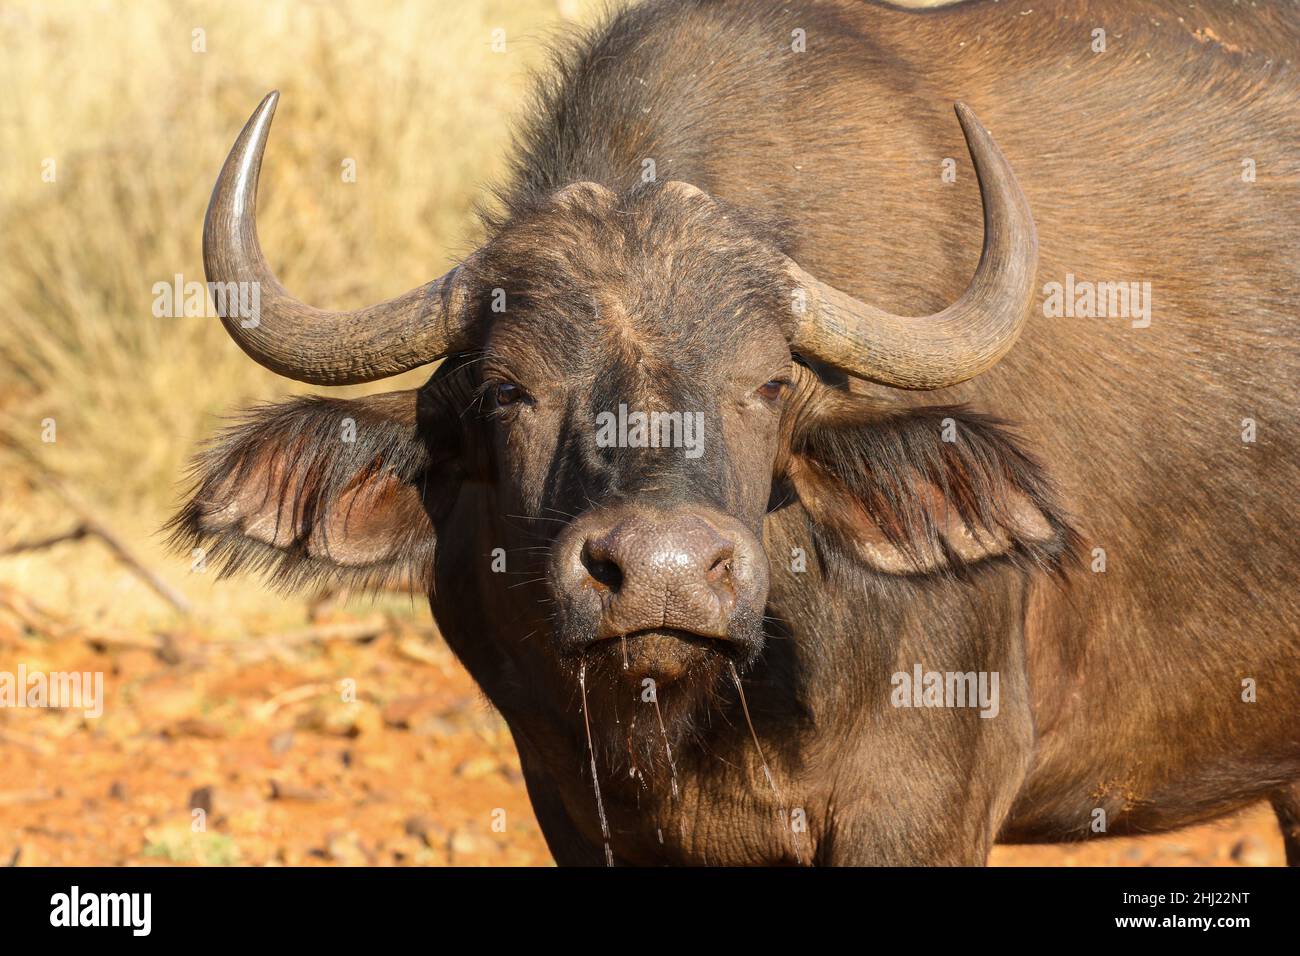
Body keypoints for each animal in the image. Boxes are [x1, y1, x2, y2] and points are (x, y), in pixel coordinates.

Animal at [172, 0, 1300, 865]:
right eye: (506, 389)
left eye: (767, 384)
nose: (662, 573)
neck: (721, 709)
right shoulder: (577, 806)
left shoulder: (926, 803)